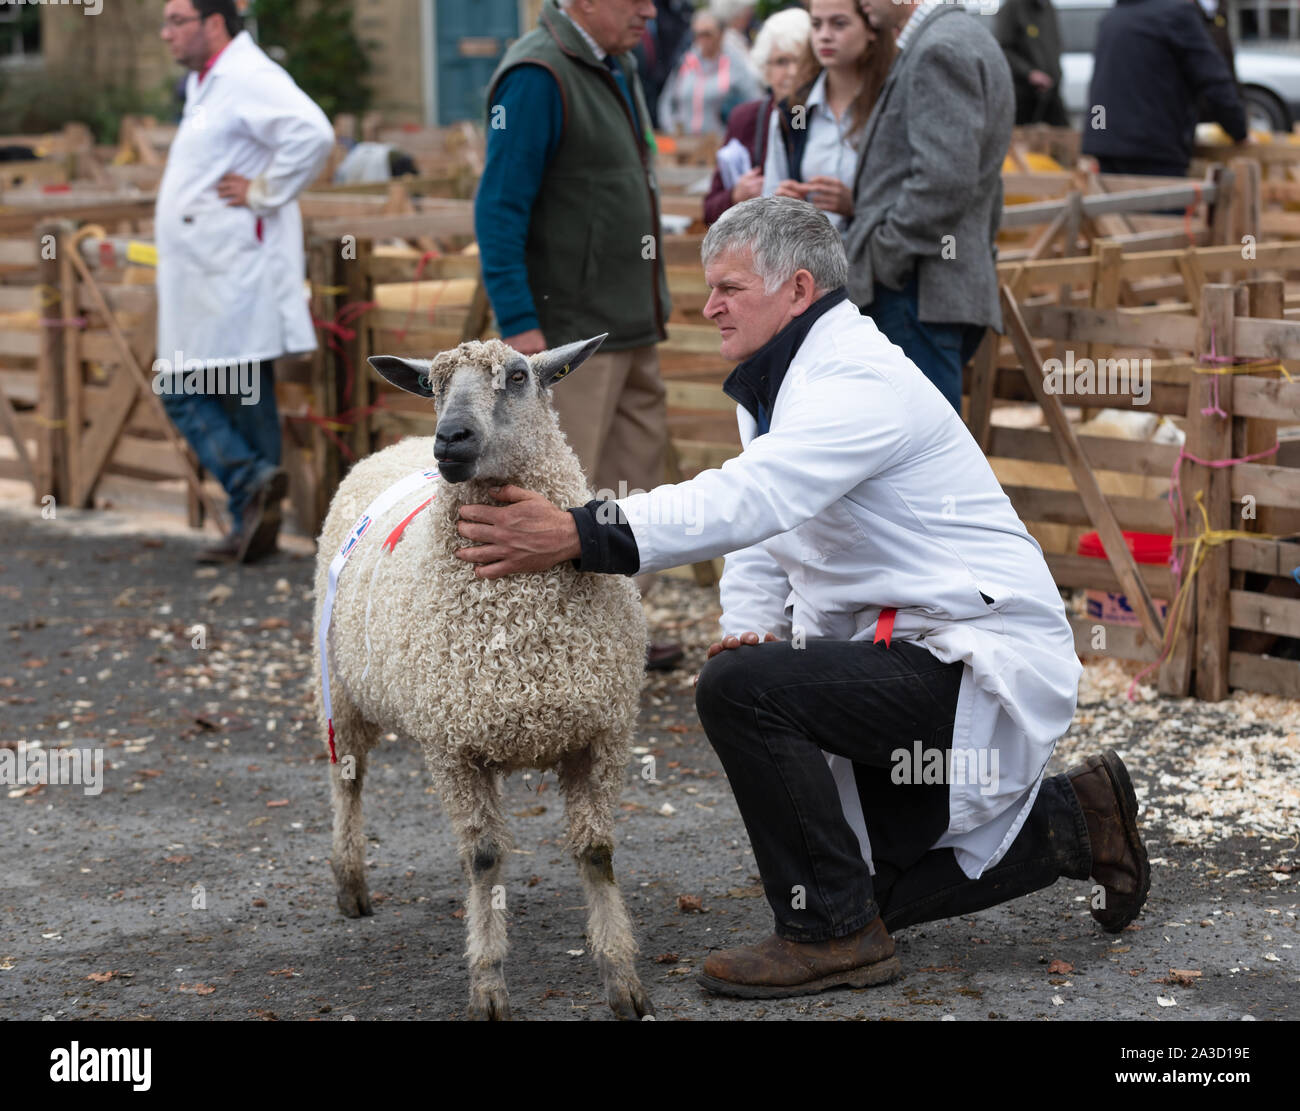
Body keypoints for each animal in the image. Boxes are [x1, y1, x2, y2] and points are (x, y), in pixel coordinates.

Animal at [312, 334, 654, 1021]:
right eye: (435, 385)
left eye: (518, 376)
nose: (451, 438)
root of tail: (399, 446)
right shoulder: (455, 748)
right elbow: (484, 857)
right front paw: (489, 985)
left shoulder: (601, 736)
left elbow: (596, 852)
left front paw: (622, 978)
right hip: (342, 688)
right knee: (348, 778)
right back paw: (350, 881)